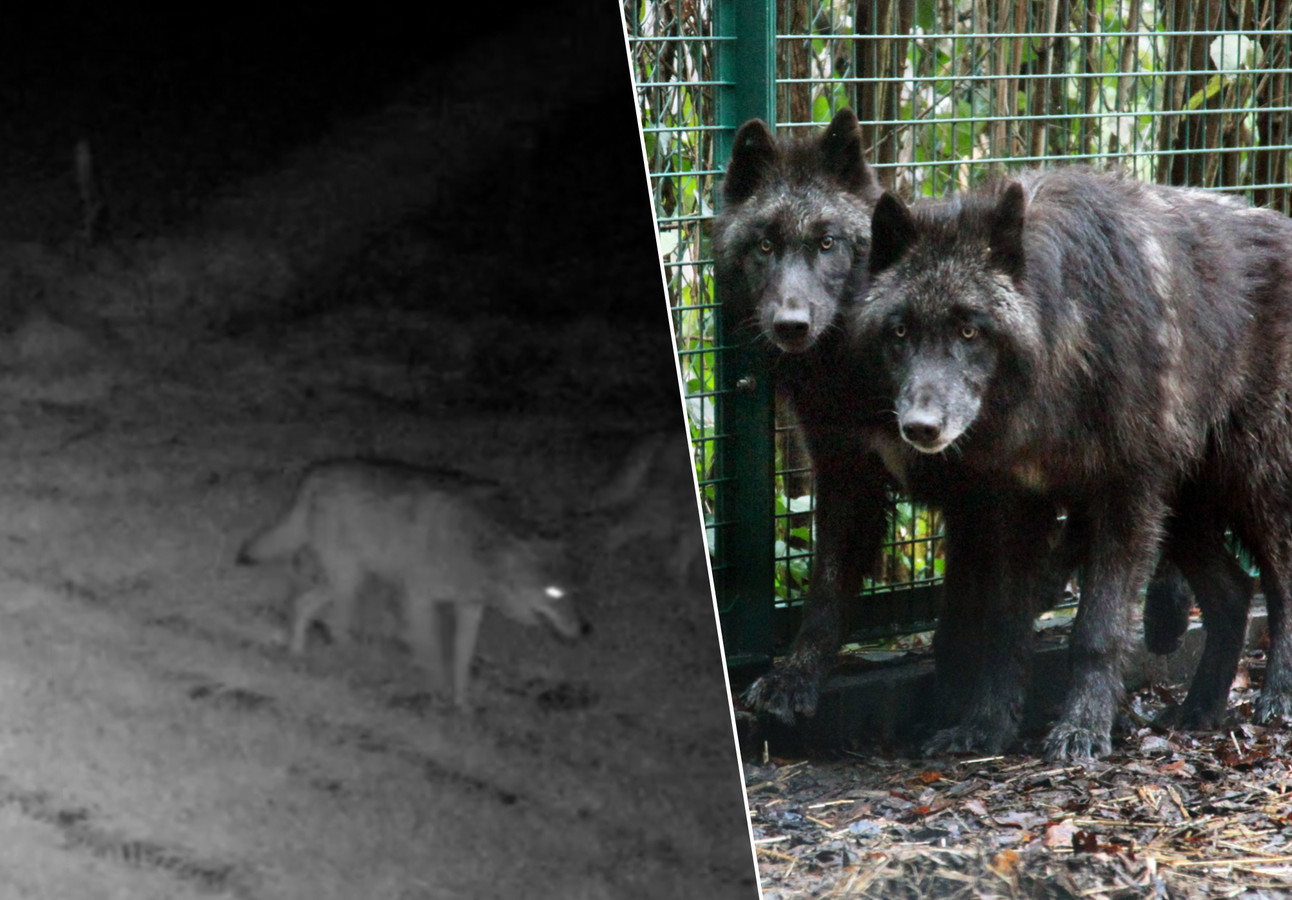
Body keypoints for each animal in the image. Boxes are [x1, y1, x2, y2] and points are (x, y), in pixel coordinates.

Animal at [237, 459, 590, 708]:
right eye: (553, 593)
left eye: (574, 593)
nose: (585, 630)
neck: (476, 547)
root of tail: (317, 472)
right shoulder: (418, 598)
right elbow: (433, 653)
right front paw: (437, 695)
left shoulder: (470, 608)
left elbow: (462, 662)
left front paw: (461, 705)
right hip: (349, 581)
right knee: (327, 619)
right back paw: (350, 660)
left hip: (349, 579)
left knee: (309, 608)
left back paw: (302, 653)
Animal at [853, 167, 1292, 758]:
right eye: (900, 331)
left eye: (969, 330)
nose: (919, 428)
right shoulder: (1013, 506)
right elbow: (1004, 626)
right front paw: (985, 726)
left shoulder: (1124, 496)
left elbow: (1096, 632)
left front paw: (1082, 728)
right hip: (1183, 509)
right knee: (1234, 592)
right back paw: (1198, 709)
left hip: (1252, 484)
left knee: (1280, 582)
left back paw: (1278, 697)